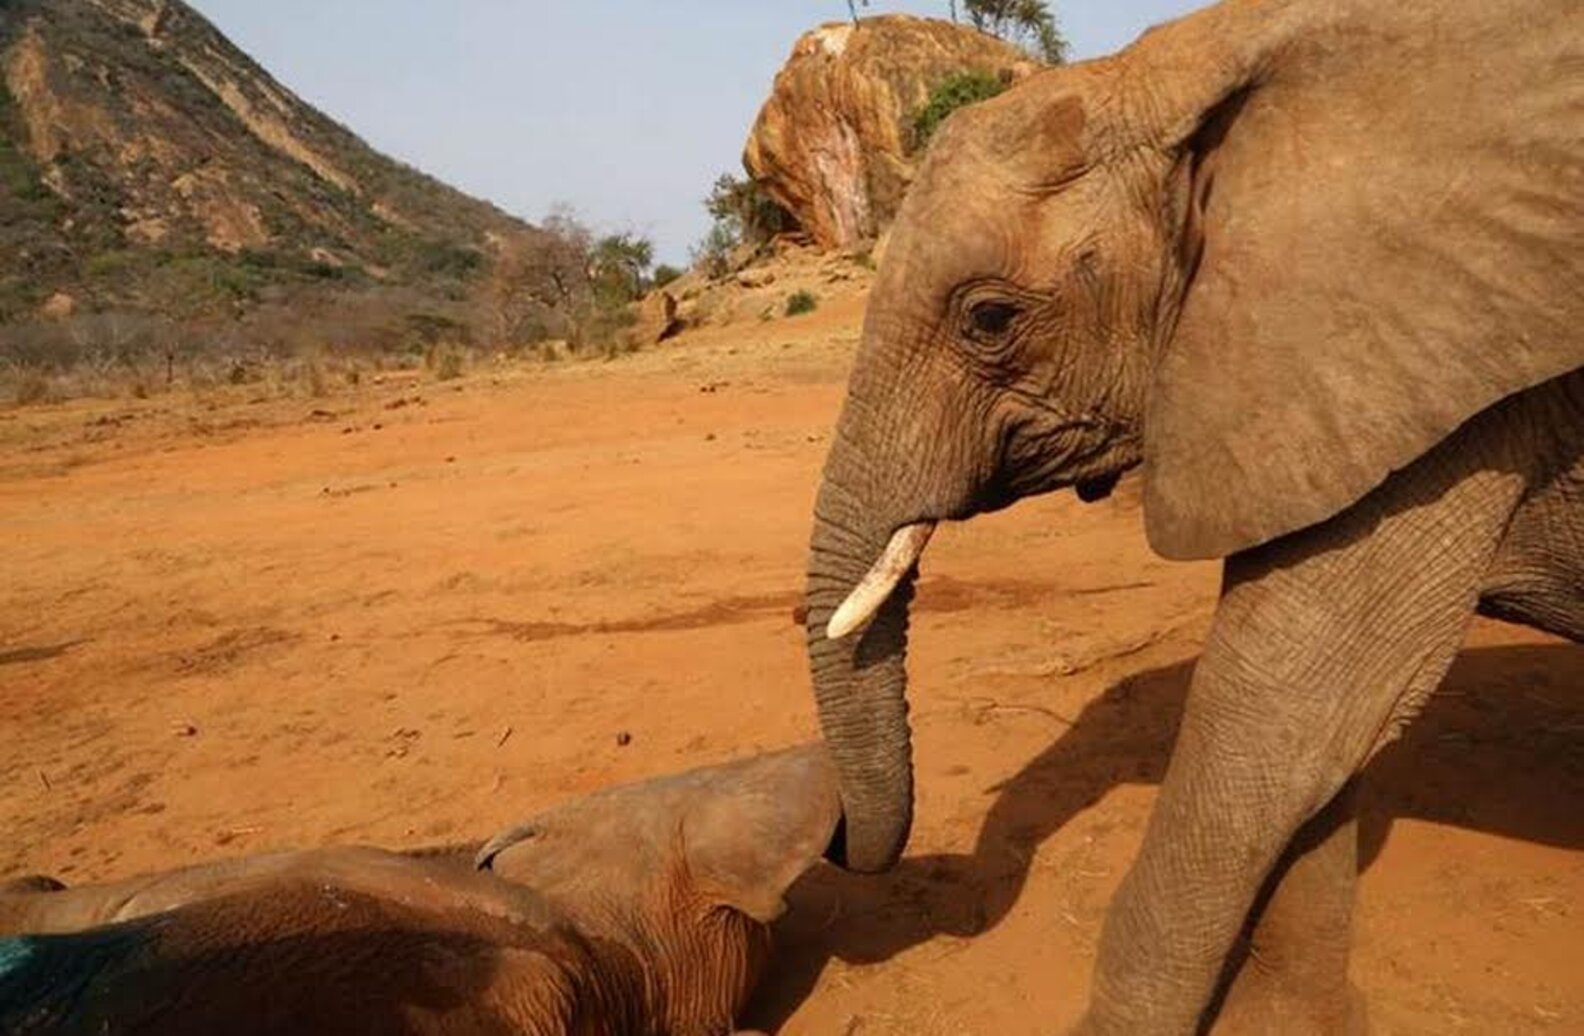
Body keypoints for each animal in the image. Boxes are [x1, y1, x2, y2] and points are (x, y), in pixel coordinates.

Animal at [802, 0, 1582, 1031]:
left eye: (990, 319)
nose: (831, 834)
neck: (1191, 60)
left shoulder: (1447, 367)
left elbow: (1281, 716)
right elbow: (1321, 742)